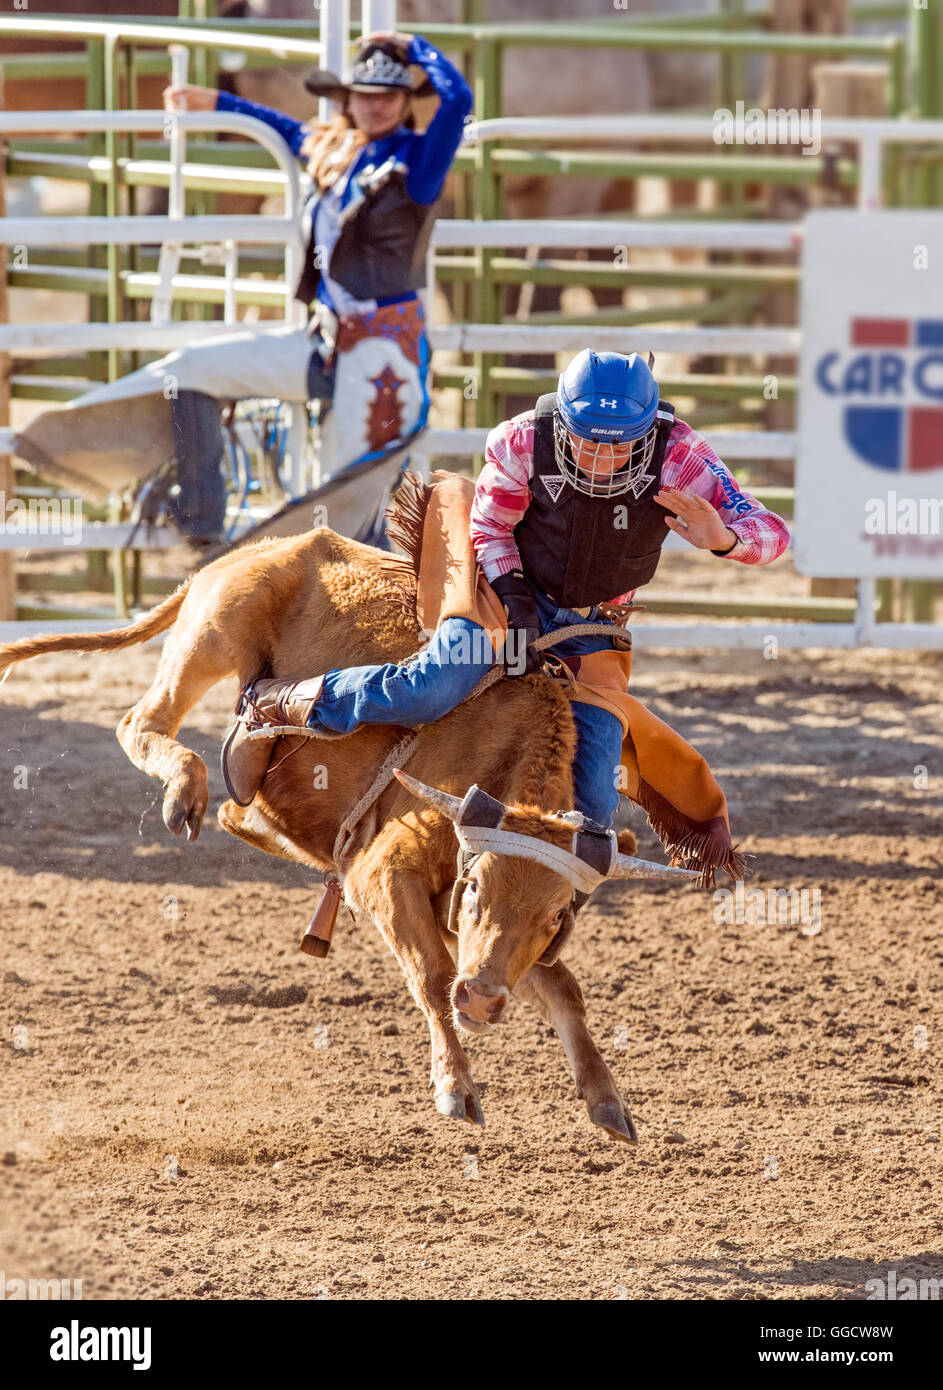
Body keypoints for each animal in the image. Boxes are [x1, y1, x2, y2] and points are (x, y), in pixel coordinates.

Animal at [0, 517, 694, 1142]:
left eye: (556, 917)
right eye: (475, 889)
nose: (481, 1000)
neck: (497, 754)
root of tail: (253, 552)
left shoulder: (478, 929)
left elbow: (563, 989)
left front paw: (608, 1102)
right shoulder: (387, 875)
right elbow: (433, 973)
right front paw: (455, 1085)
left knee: (237, 810)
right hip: (211, 637)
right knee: (140, 723)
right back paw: (189, 789)